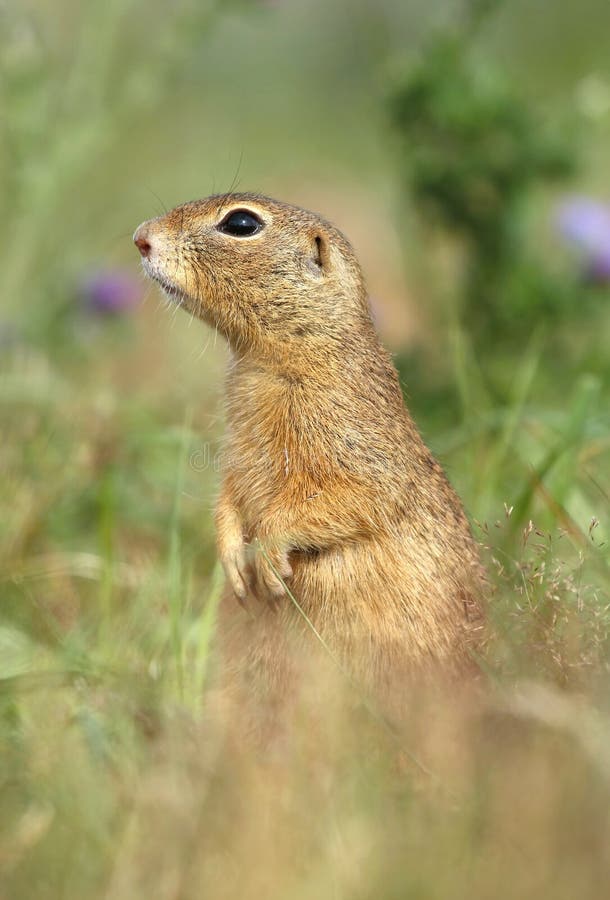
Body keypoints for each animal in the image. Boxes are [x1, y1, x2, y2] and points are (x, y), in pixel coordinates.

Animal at [134, 193, 486, 721]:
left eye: (241, 223)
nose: (141, 237)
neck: (268, 360)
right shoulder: (236, 454)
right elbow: (228, 498)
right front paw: (233, 558)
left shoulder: (353, 448)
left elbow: (345, 500)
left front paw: (268, 555)